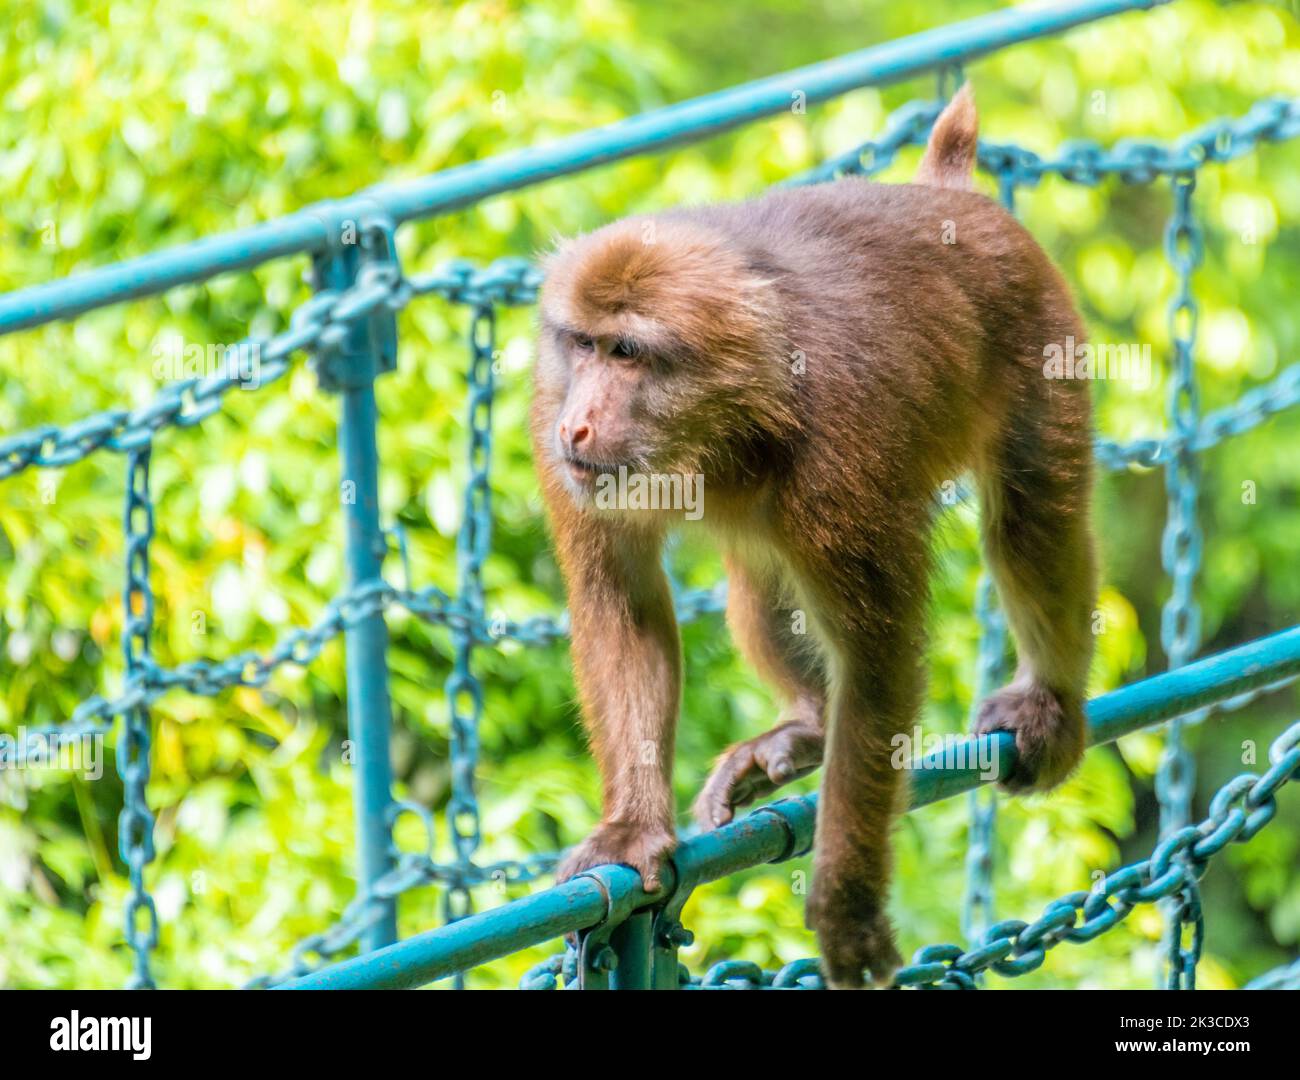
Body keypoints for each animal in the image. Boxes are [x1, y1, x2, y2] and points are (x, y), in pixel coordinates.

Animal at [529, 84, 1096, 989]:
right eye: (581, 346)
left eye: (627, 352)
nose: (576, 424)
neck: (728, 427)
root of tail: (943, 195)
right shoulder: (561, 446)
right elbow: (625, 605)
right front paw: (631, 831)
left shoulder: (840, 457)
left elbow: (877, 660)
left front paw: (847, 904)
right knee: (759, 575)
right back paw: (807, 727)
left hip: (1043, 340)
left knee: (1029, 518)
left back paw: (1051, 701)